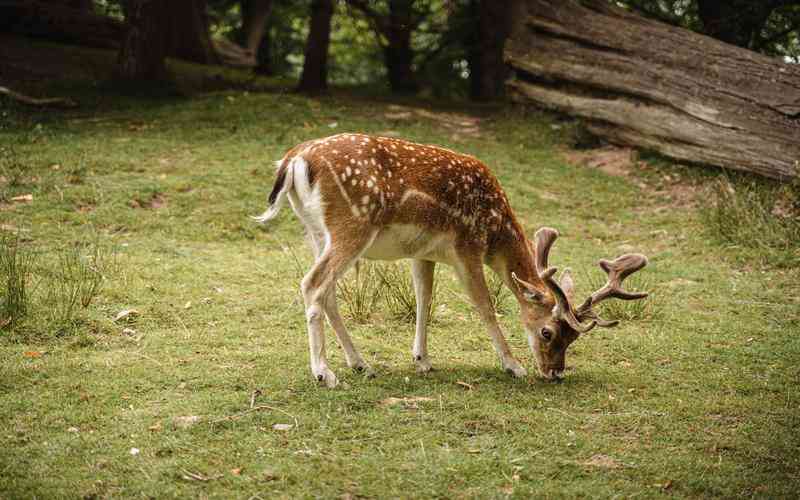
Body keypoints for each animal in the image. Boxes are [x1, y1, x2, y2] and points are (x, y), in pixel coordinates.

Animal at [253, 133, 648, 386]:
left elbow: (424, 299)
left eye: (573, 338)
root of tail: (294, 160)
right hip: (352, 225)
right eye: (548, 332)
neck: (496, 231)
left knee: (327, 292)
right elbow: (485, 306)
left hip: (316, 232)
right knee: (313, 284)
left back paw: (361, 364)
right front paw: (513, 365)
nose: (554, 373)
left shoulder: (422, 254)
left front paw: (423, 360)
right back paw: (325, 373)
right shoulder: (467, 247)